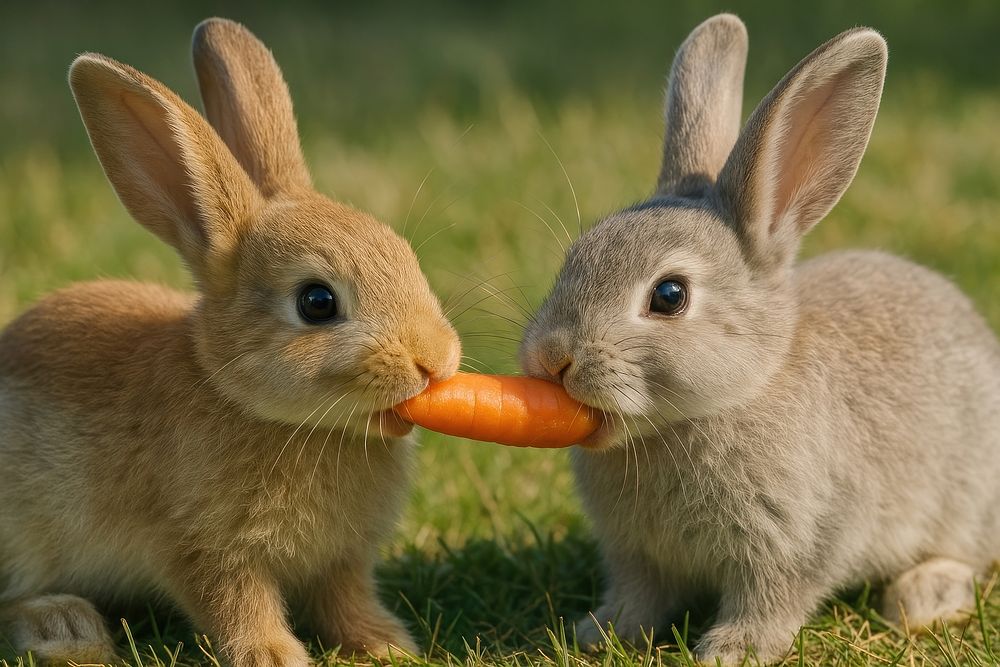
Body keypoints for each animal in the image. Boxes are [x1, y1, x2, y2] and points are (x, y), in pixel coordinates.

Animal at [0, 17, 460, 667]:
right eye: (316, 302)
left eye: (407, 258)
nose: (435, 362)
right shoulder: (203, 548)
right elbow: (237, 604)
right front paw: (275, 656)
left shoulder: (342, 559)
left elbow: (346, 599)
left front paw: (386, 645)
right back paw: (65, 629)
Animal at [520, 13, 1000, 665]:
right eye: (574, 256)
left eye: (669, 295)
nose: (551, 357)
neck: (730, 398)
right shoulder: (636, 556)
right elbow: (639, 595)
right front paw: (600, 632)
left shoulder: (796, 542)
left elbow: (771, 600)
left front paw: (731, 650)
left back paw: (922, 598)